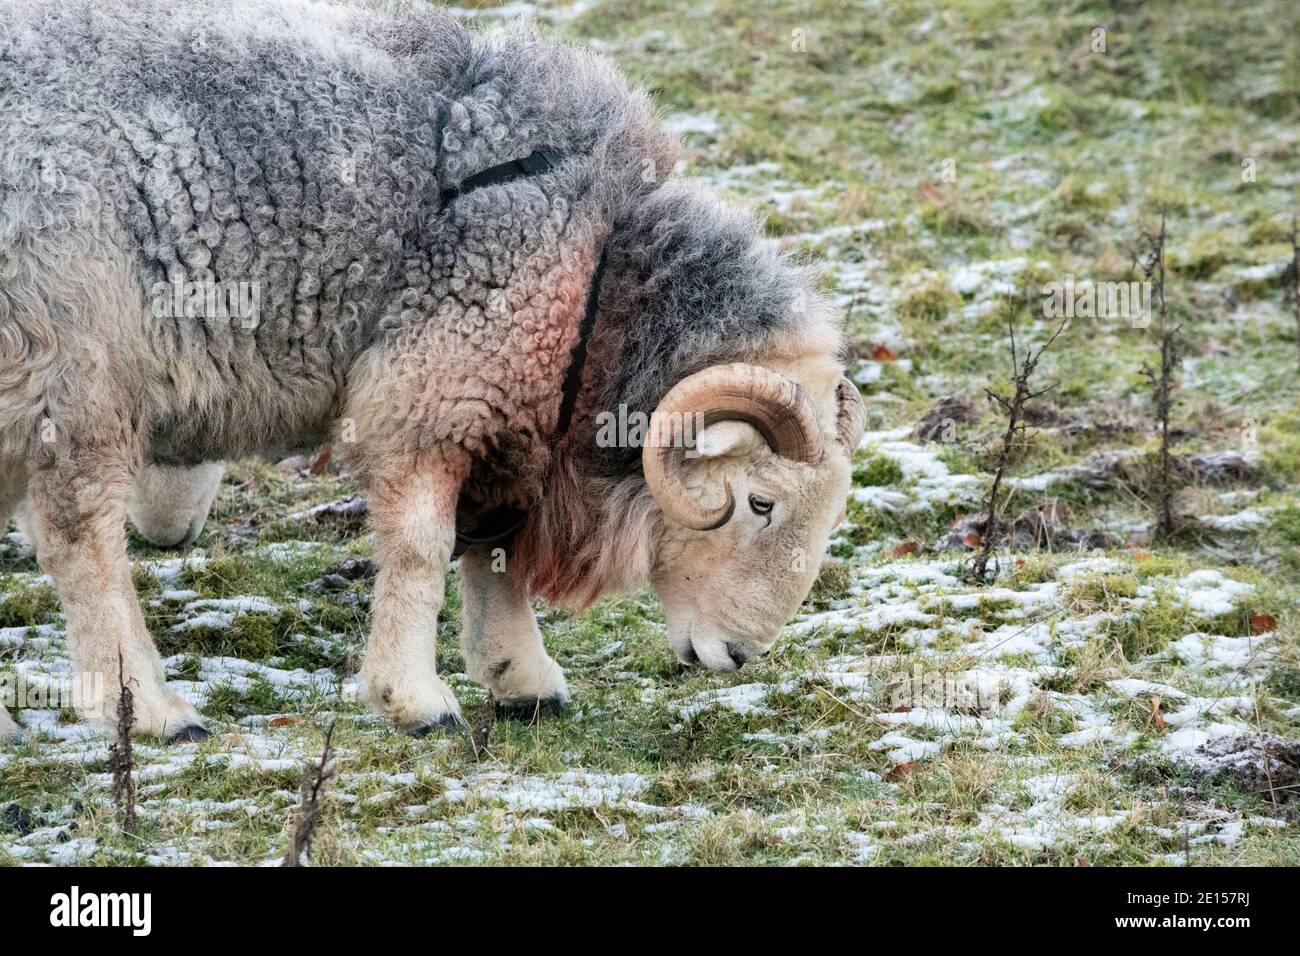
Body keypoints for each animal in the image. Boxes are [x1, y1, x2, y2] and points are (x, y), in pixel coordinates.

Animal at [0, 0, 865, 741]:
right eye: (760, 503)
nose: (737, 657)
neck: (598, 280)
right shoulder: (435, 393)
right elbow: (424, 546)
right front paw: (414, 699)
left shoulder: (508, 412)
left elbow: (495, 548)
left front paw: (521, 678)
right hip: (73, 358)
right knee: (80, 536)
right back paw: (148, 706)